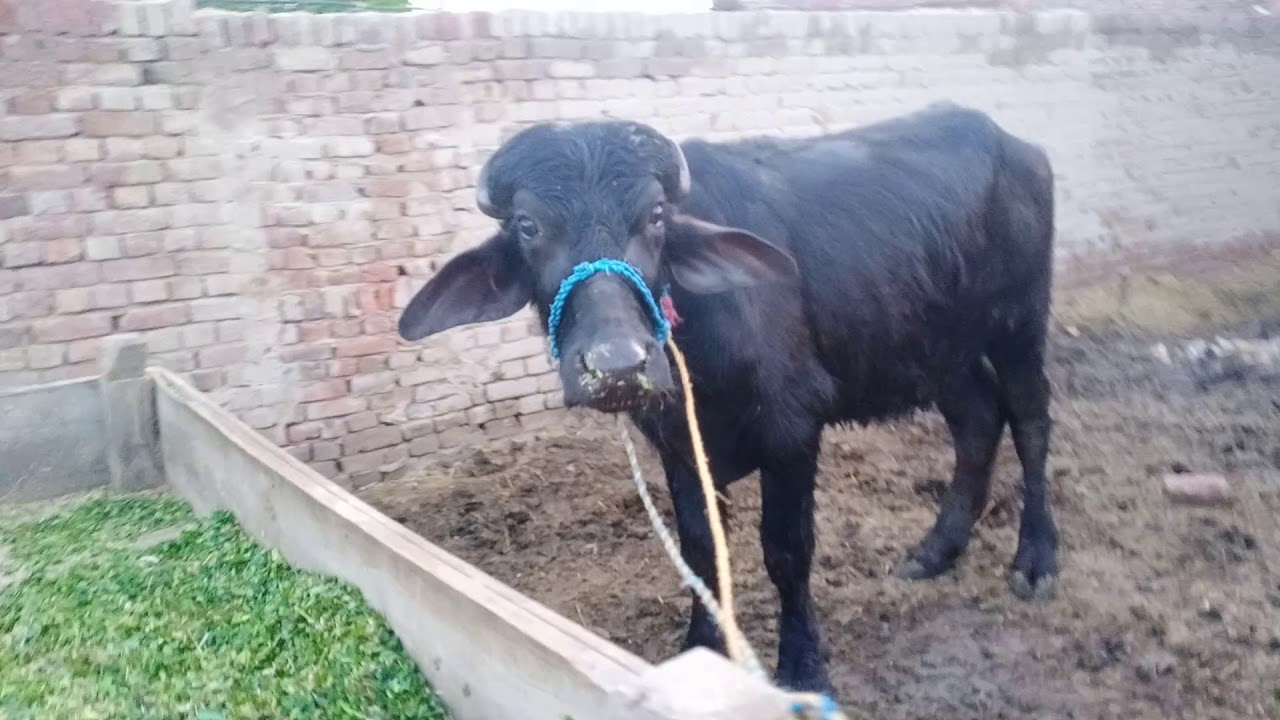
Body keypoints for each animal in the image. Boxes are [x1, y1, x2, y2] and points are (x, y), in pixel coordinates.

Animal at [397, 102, 1059, 695]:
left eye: (655, 217)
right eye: (528, 226)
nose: (618, 366)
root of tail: (1019, 147)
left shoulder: (793, 429)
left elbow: (786, 551)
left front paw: (802, 668)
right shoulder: (677, 445)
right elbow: (699, 552)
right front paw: (702, 648)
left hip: (1019, 323)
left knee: (1030, 423)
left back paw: (1035, 561)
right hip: (942, 347)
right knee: (978, 420)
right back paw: (937, 550)